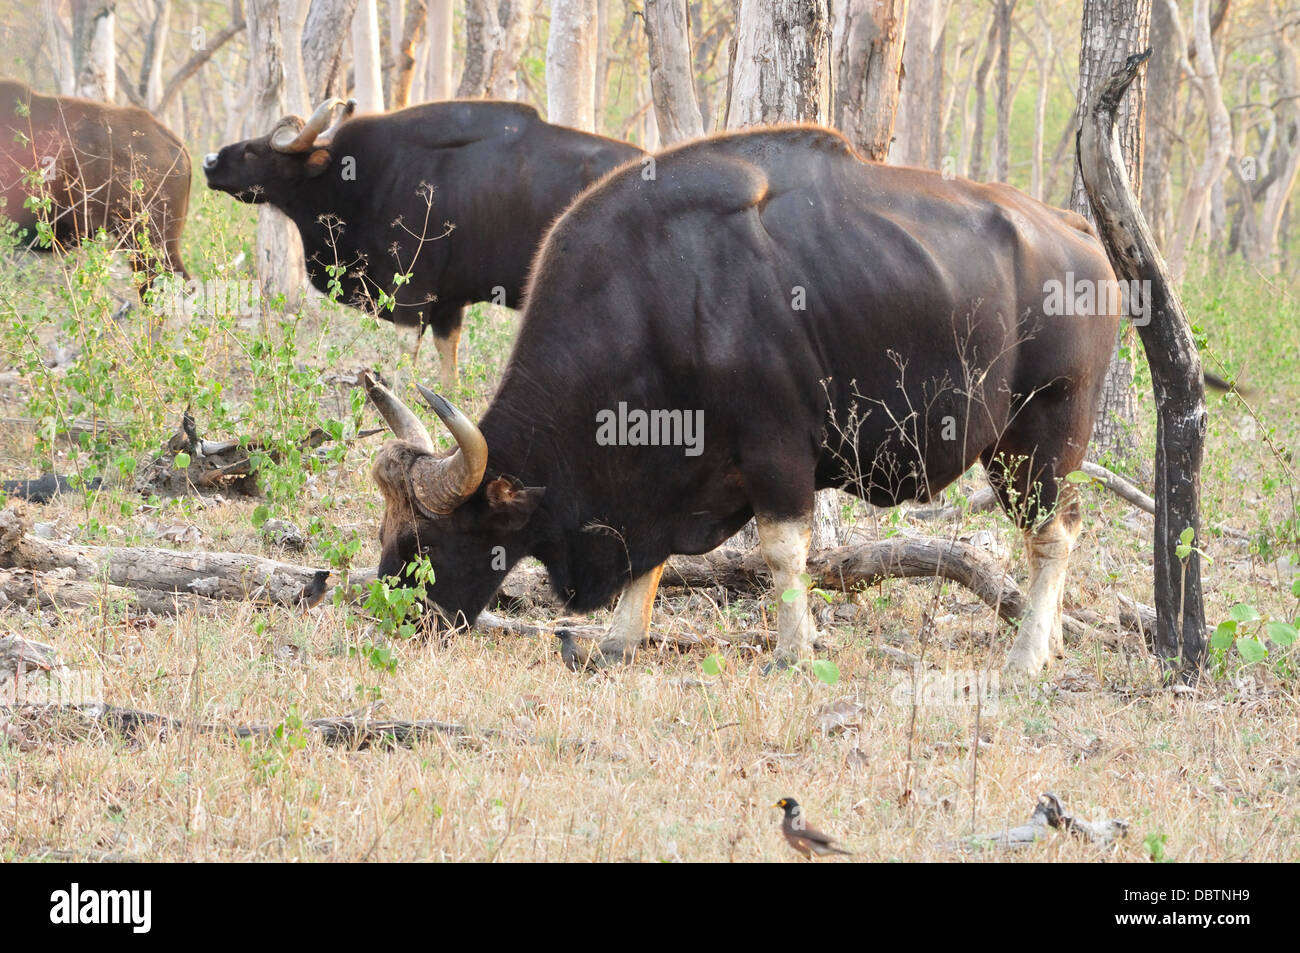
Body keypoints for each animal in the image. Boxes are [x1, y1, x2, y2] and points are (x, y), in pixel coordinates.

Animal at [203, 98, 642, 388]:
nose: (209, 161)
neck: (366, 179)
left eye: (253, 151)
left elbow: (402, 369)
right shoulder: (448, 304)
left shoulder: (410, 297)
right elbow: (449, 372)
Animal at [364, 125, 1120, 677]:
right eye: (386, 530)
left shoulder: (775, 448)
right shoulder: (673, 468)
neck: (655, 299)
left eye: (428, 540)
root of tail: (1078, 234)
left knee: (1054, 533)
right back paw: (1050, 641)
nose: (395, 613)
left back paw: (1027, 656)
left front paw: (793, 651)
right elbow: (654, 555)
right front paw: (618, 638)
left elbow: (783, 551)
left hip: (1042, 439)